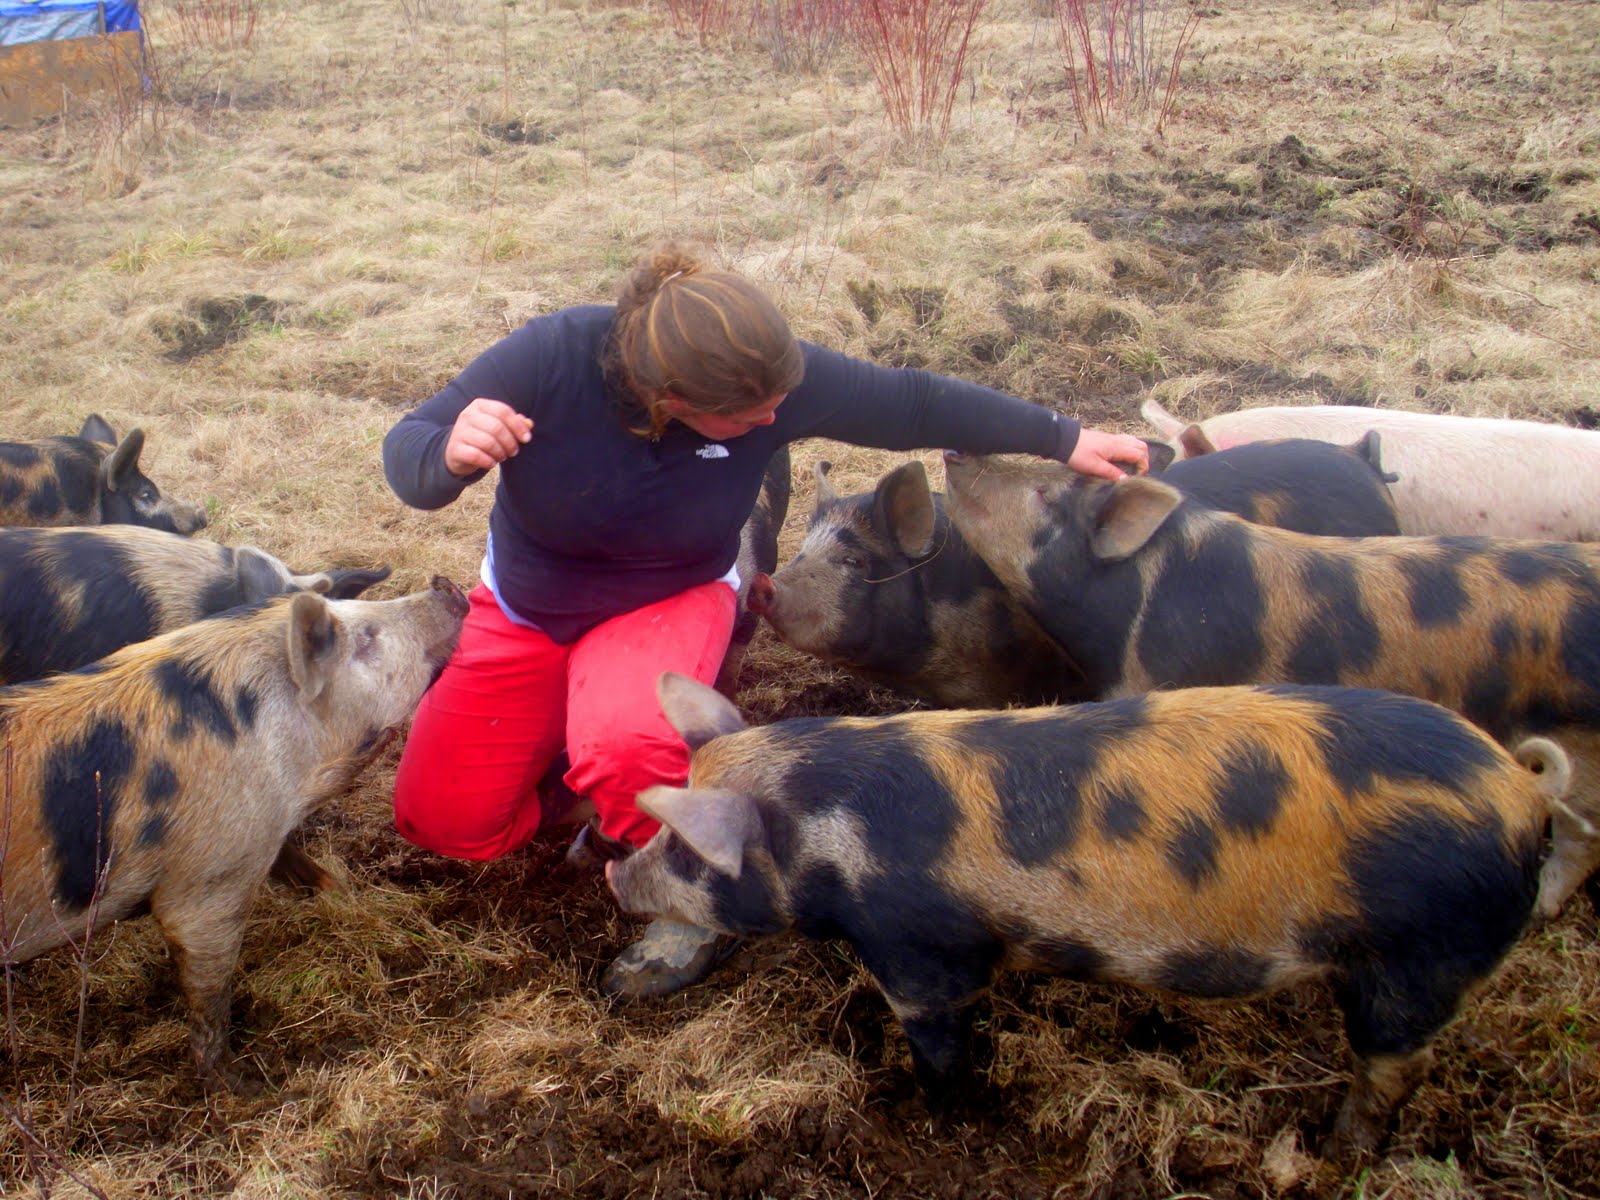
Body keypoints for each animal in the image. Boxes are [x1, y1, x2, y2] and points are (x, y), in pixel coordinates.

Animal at [0, 577, 467, 1087]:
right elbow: (211, 985)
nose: (445, 584)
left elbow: (295, 861)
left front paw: (344, 891)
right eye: (365, 637)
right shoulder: (210, 875)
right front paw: (240, 1083)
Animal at [609, 672, 1568, 1163]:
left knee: (1395, 1065)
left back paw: (1334, 1153)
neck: (830, 829)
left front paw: (932, 1109)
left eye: (690, 854)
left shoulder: (921, 949)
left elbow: (940, 1039)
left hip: (1427, 956)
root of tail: (1521, 792)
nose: (617, 872)